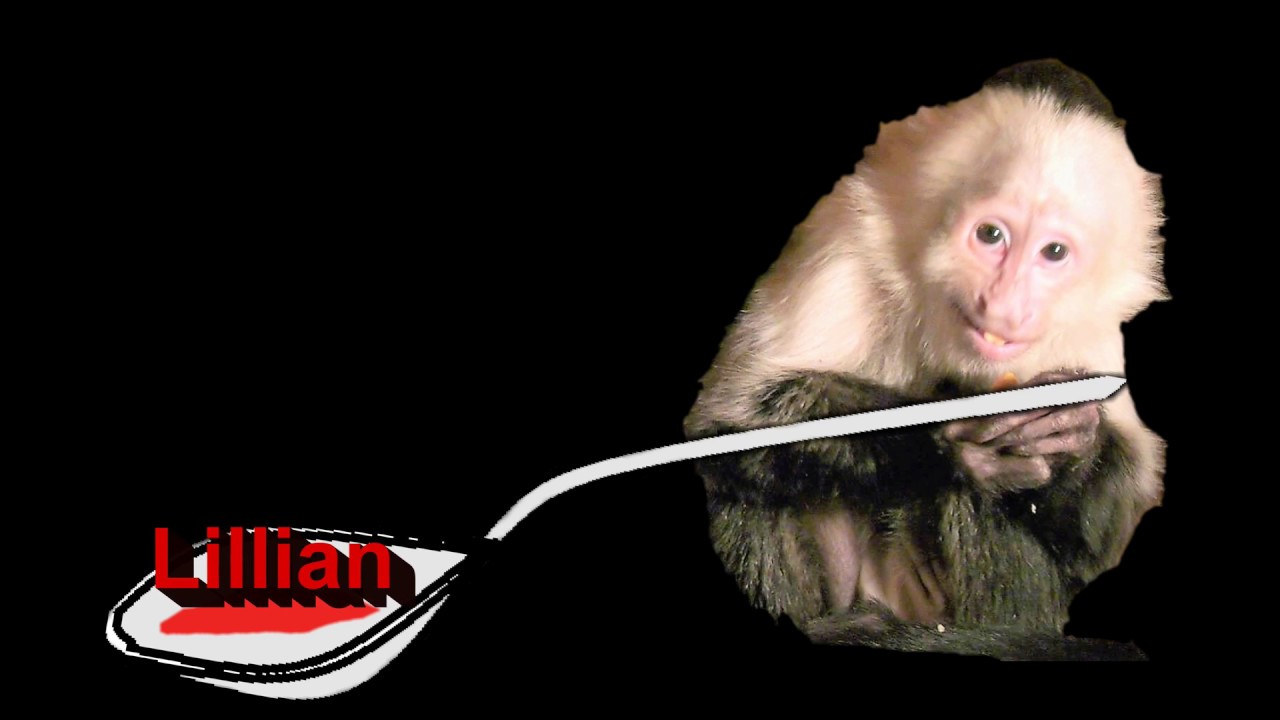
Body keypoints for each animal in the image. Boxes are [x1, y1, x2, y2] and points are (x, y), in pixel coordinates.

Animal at [684, 60, 1166, 660]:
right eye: (990, 234)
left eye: (1053, 252)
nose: (1003, 305)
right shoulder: (844, 243)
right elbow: (727, 422)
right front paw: (946, 440)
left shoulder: (1104, 318)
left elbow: (1106, 534)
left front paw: (1074, 437)